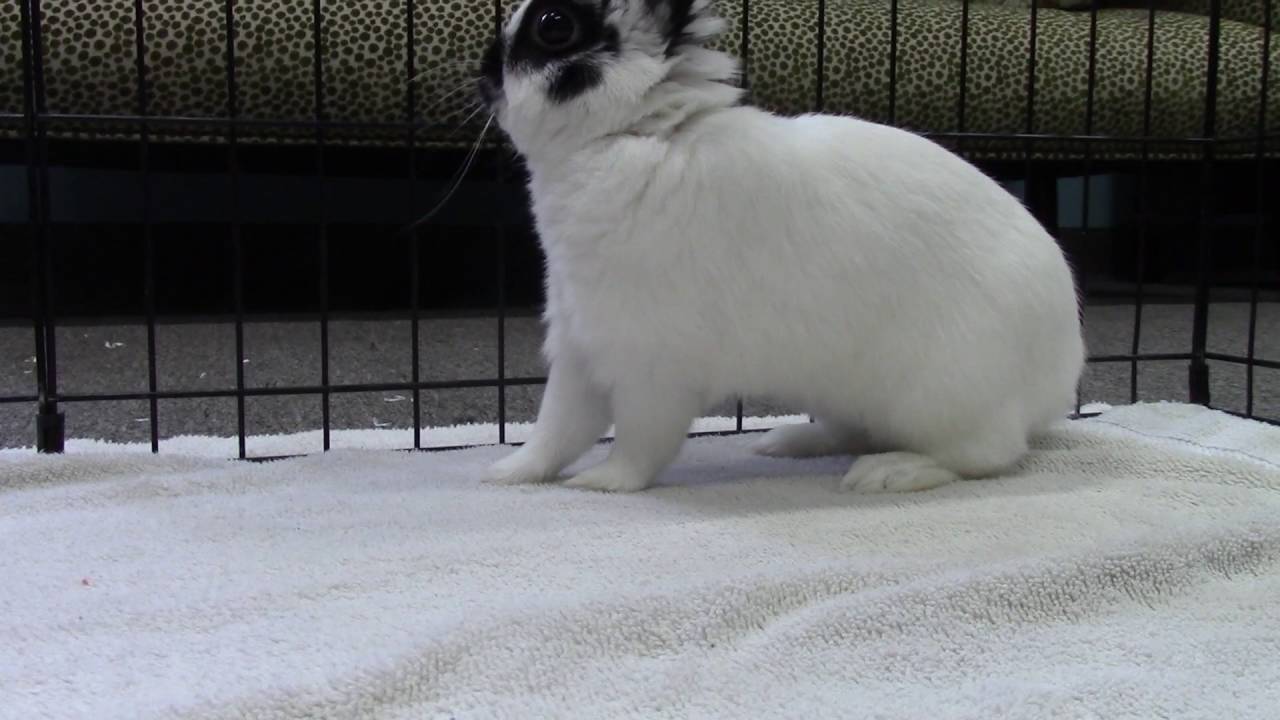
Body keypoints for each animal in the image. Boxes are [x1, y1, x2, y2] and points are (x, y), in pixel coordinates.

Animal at [478, 0, 1085, 493]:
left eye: (554, 26)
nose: (484, 72)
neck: (633, 133)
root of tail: (1059, 375)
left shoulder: (654, 365)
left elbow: (640, 441)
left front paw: (602, 483)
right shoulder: (579, 346)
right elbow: (557, 428)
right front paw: (506, 473)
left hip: (945, 393)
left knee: (987, 455)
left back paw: (887, 473)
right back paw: (788, 442)